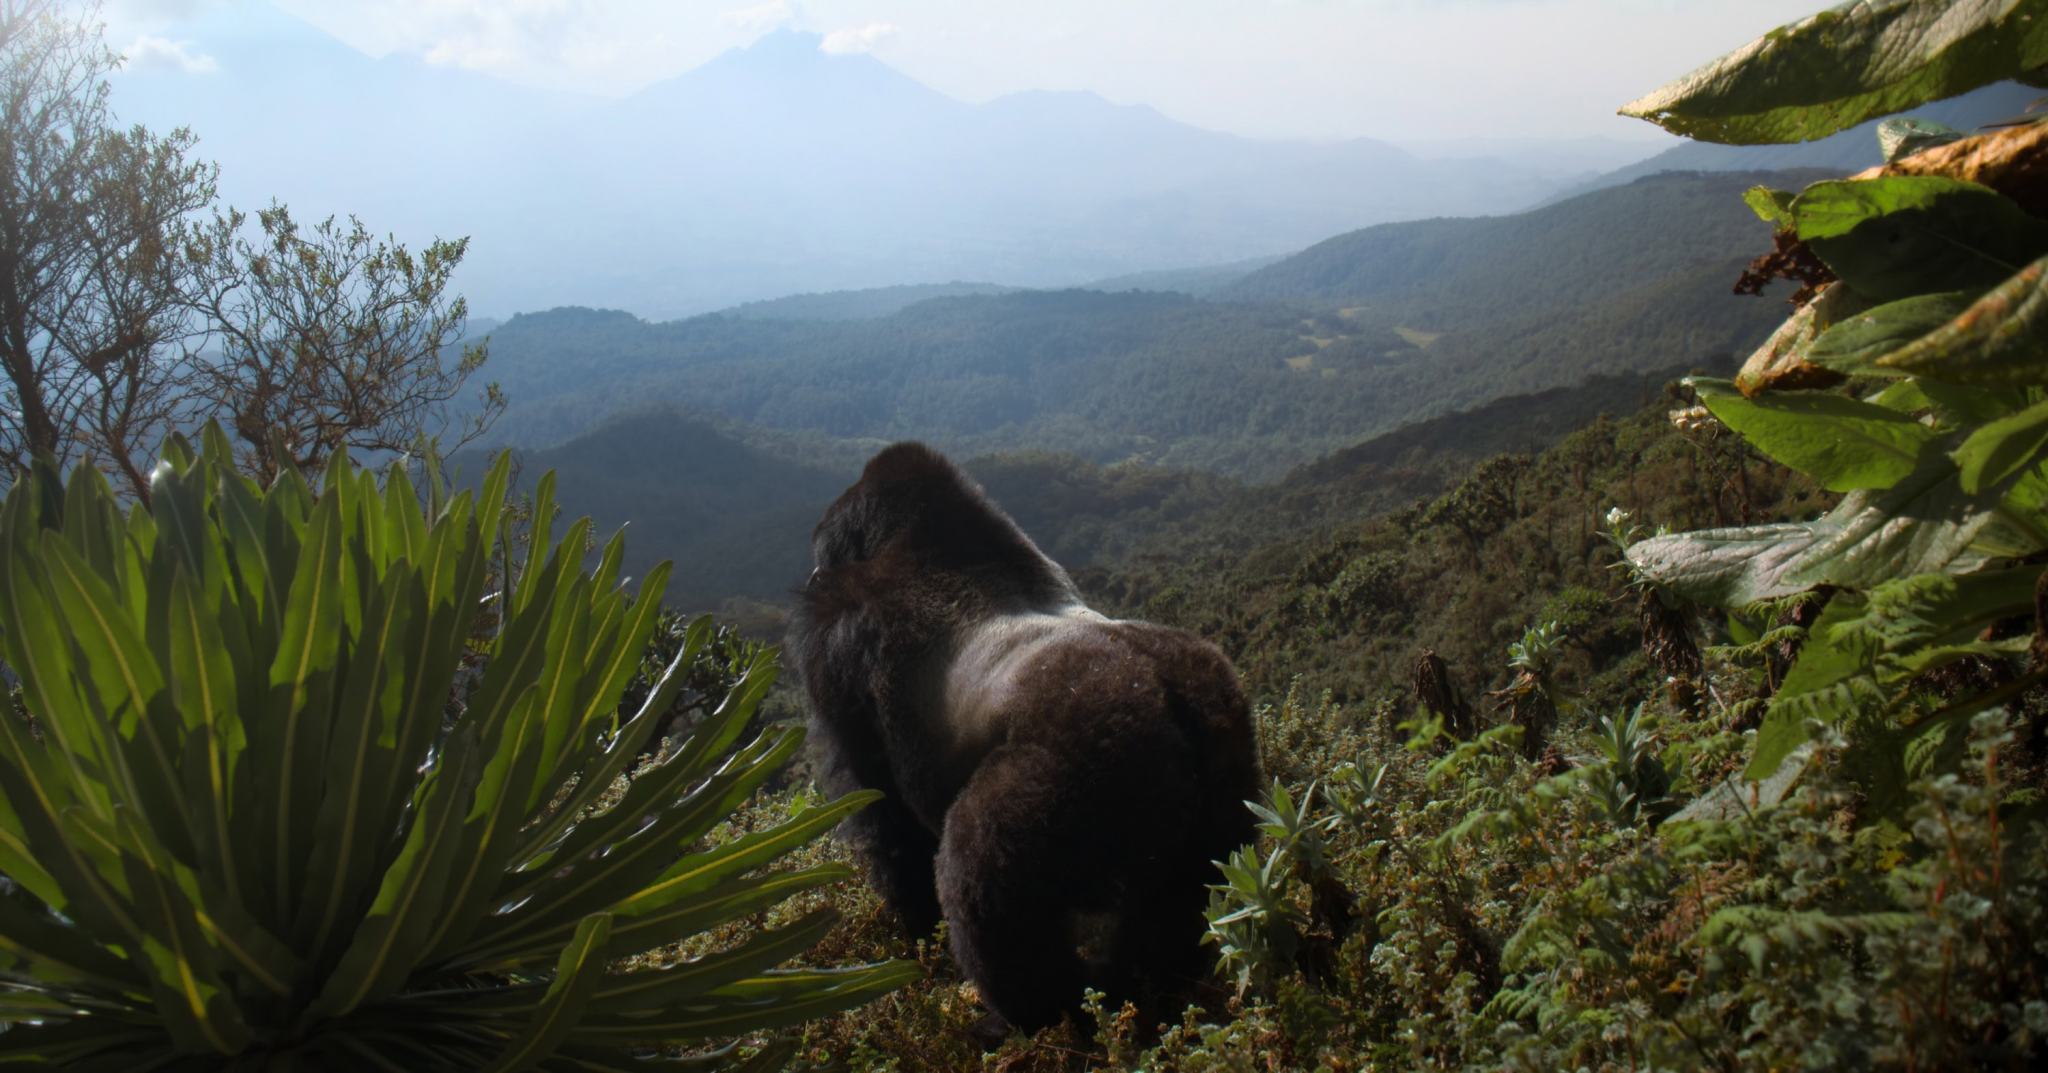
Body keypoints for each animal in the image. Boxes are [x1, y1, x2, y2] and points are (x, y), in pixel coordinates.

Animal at [790, 442, 1260, 1033]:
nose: (810, 575)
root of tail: (1168, 689)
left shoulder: (837, 639)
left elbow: (885, 817)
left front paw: (916, 936)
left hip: (1079, 759)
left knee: (976, 866)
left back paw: (1024, 1017)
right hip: (1228, 747)